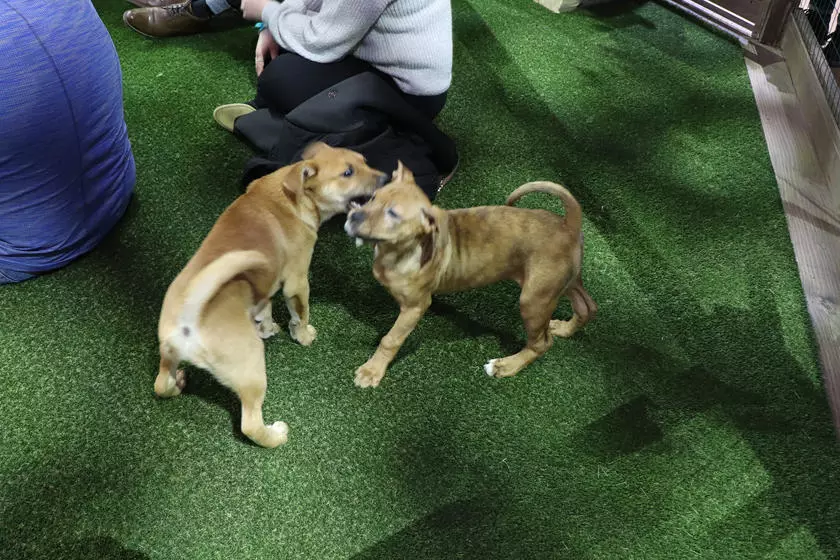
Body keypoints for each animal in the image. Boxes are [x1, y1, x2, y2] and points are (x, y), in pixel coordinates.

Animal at [158, 143, 388, 446]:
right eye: (348, 172)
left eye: (364, 160)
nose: (386, 178)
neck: (289, 196)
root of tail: (189, 318)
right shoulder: (297, 282)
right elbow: (301, 314)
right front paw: (303, 336)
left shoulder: (265, 288)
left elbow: (265, 308)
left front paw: (267, 326)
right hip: (251, 366)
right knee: (250, 424)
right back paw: (275, 435)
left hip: (168, 355)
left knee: (161, 385)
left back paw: (178, 383)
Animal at [344, 162, 592, 388]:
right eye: (373, 197)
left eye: (393, 214)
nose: (353, 216)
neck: (401, 249)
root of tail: (568, 225)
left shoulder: (415, 307)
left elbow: (390, 339)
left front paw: (372, 371)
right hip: (562, 282)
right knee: (587, 306)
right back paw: (564, 328)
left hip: (534, 299)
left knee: (542, 343)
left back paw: (505, 365)